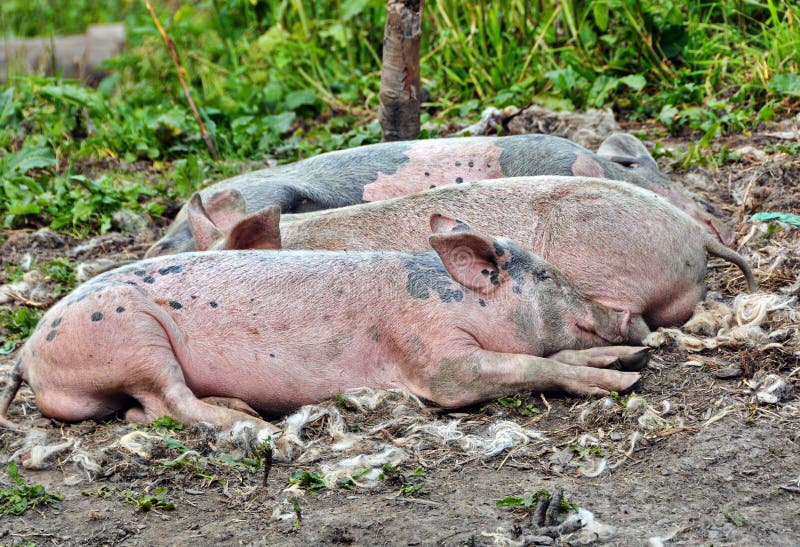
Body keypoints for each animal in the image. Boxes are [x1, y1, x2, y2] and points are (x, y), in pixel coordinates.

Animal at [0, 223, 647, 437]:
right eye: (547, 275)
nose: (628, 316)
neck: (458, 303)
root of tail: (27, 354)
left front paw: (630, 360)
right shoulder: (432, 356)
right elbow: (521, 365)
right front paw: (623, 384)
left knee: (142, 411)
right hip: (133, 337)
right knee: (168, 402)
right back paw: (256, 424)